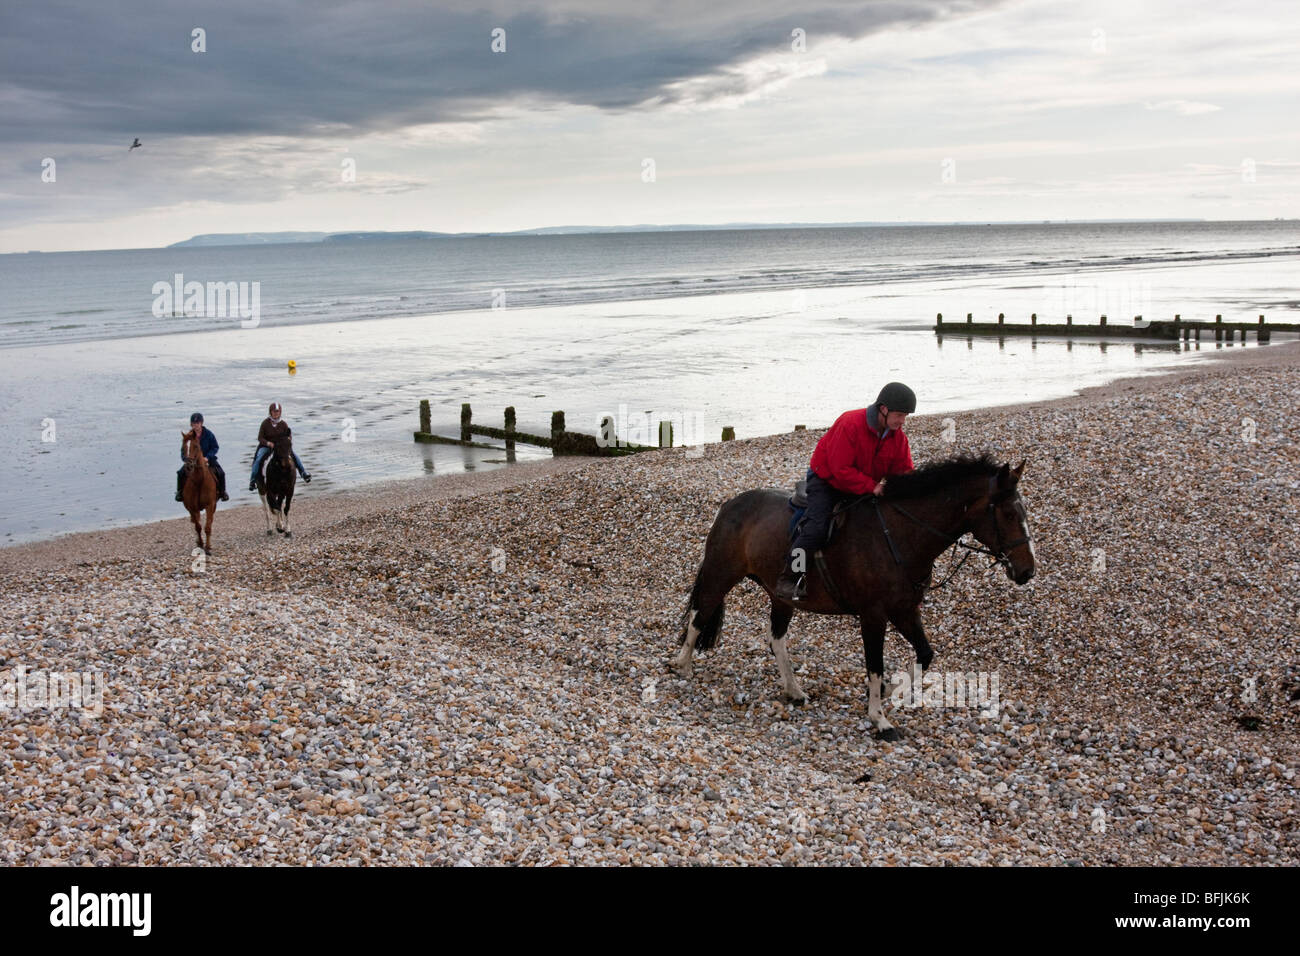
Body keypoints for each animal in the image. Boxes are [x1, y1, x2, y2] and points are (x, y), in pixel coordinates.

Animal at [674, 454, 1035, 740]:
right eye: (1008, 515)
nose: (1027, 571)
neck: (900, 535)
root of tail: (730, 505)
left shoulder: (905, 610)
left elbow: (925, 654)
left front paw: (891, 690)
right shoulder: (873, 615)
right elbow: (875, 664)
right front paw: (879, 718)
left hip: (781, 597)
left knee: (775, 639)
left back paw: (793, 690)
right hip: (721, 574)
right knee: (699, 616)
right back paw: (682, 665)